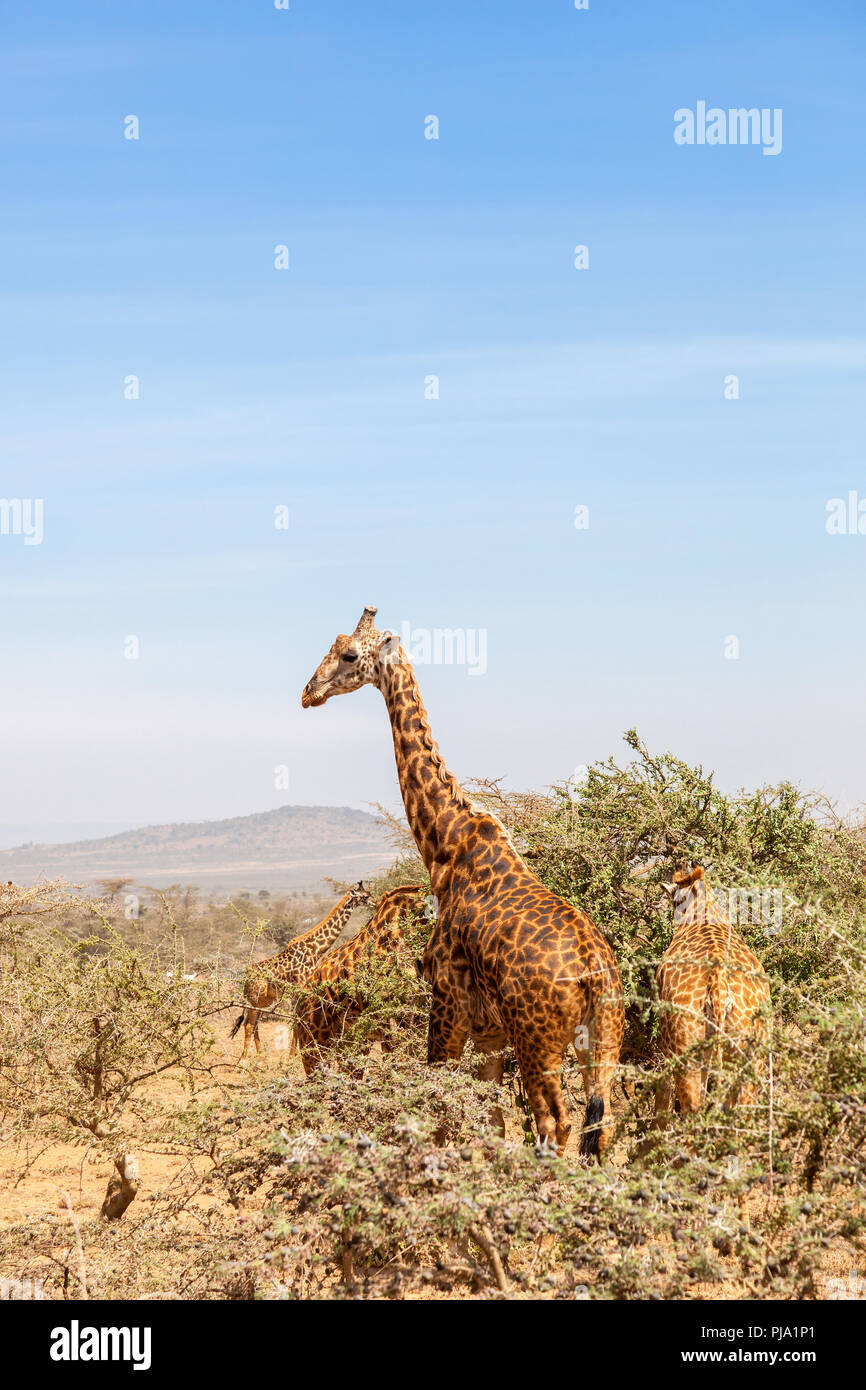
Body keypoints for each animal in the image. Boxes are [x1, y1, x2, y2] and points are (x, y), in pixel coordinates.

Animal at [230, 882, 374, 1059]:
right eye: (365, 896)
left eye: (369, 893)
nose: (375, 902)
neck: (315, 949)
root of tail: (246, 979)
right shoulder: (300, 985)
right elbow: (297, 1019)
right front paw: (292, 1056)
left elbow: (299, 1019)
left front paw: (297, 1053)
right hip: (254, 999)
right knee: (249, 1024)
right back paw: (244, 1060)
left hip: (263, 1000)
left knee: (254, 1023)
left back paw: (261, 1056)